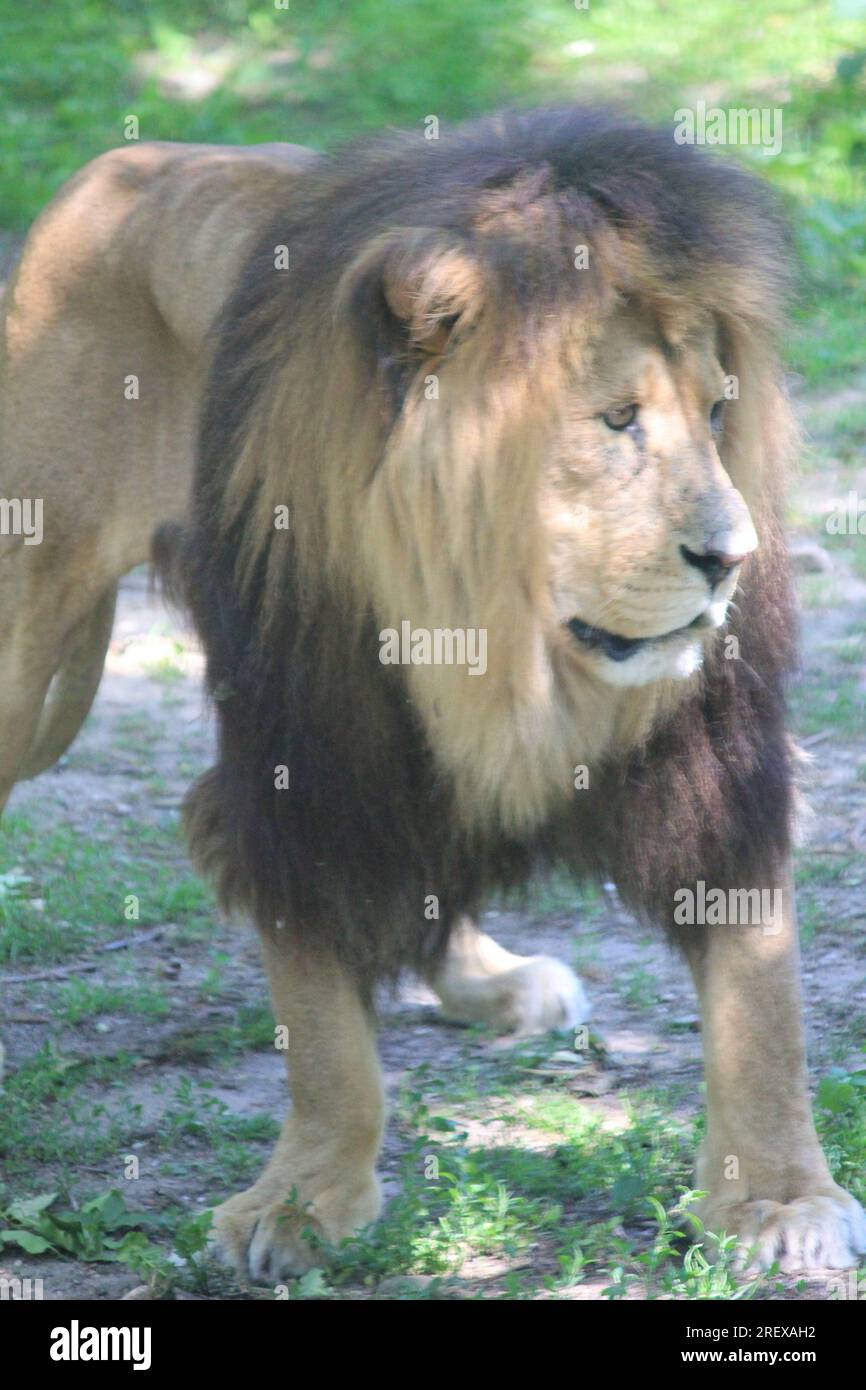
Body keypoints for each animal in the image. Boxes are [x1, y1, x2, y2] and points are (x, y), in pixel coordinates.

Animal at [3, 107, 865, 1282]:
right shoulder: (302, 753)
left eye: (720, 411)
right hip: (29, 651)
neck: (504, 642)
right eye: (616, 420)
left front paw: (780, 1198)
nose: (733, 559)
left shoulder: (712, 760)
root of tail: (130, 160)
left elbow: (761, 1002)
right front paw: (304, 1198)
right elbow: (321, 1024)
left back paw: (491, 982)